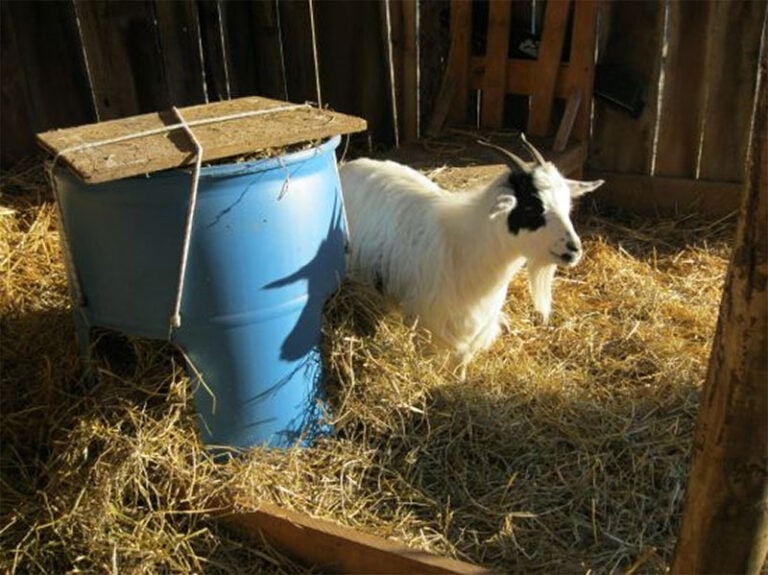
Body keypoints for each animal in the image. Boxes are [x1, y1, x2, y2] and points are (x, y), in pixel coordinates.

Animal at [338, 135, 604, 374]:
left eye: (568, 206)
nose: (574, 249)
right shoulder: (429, 326)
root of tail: (346, 166)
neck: (466, 247)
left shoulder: (472, 332)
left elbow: (461, 366)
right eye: (531, 207)